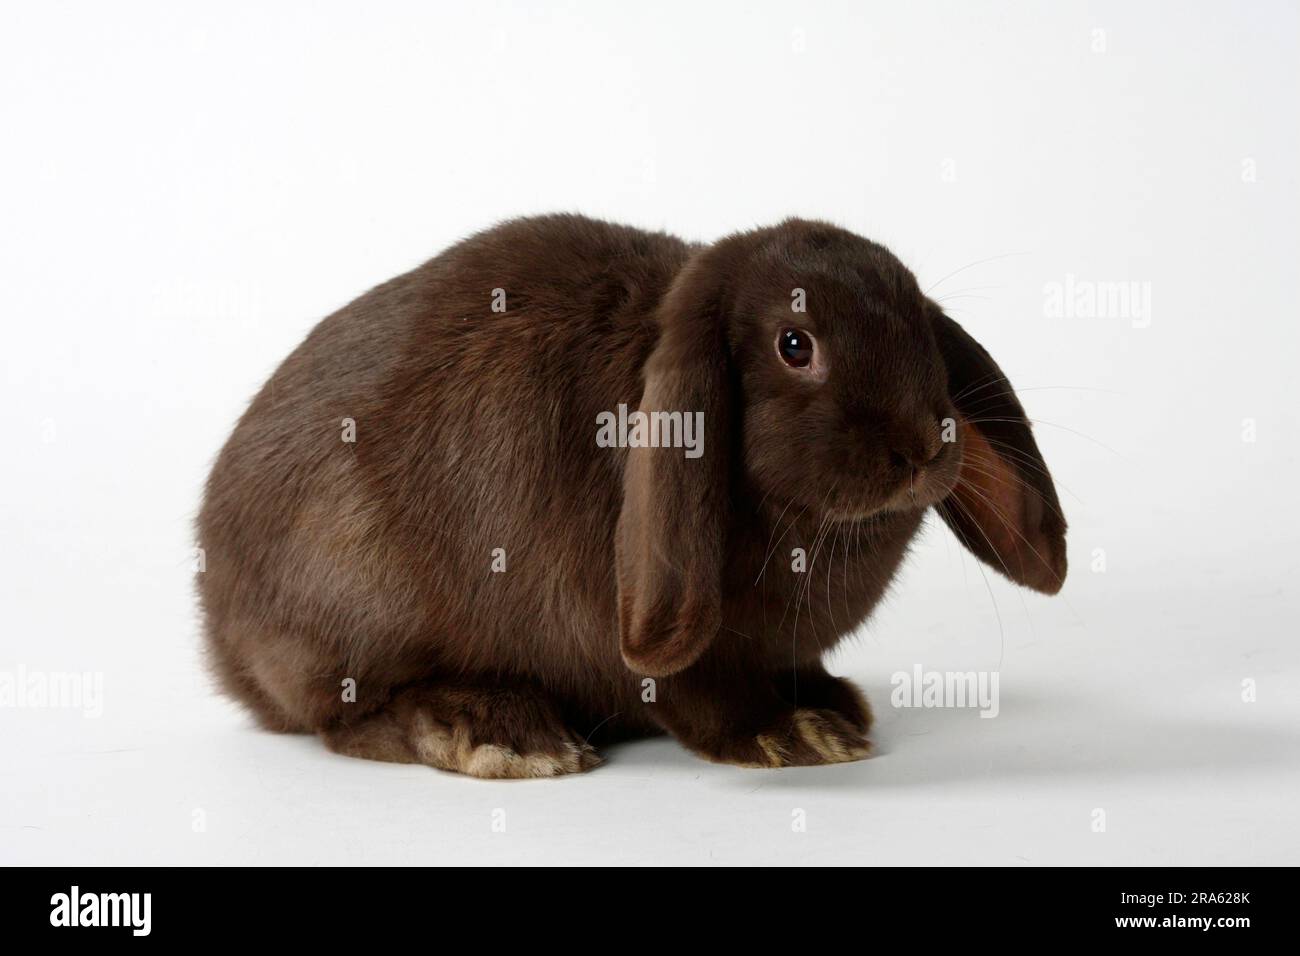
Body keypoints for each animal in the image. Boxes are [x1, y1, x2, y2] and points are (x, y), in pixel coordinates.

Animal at [196, 213, 1066, 777]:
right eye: (795, 345)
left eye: (923, 332)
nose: (925, 446)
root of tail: (218, 629)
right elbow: (685, 686)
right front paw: (792, 735)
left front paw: (830, 706)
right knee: (346, 717)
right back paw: (500, 732)